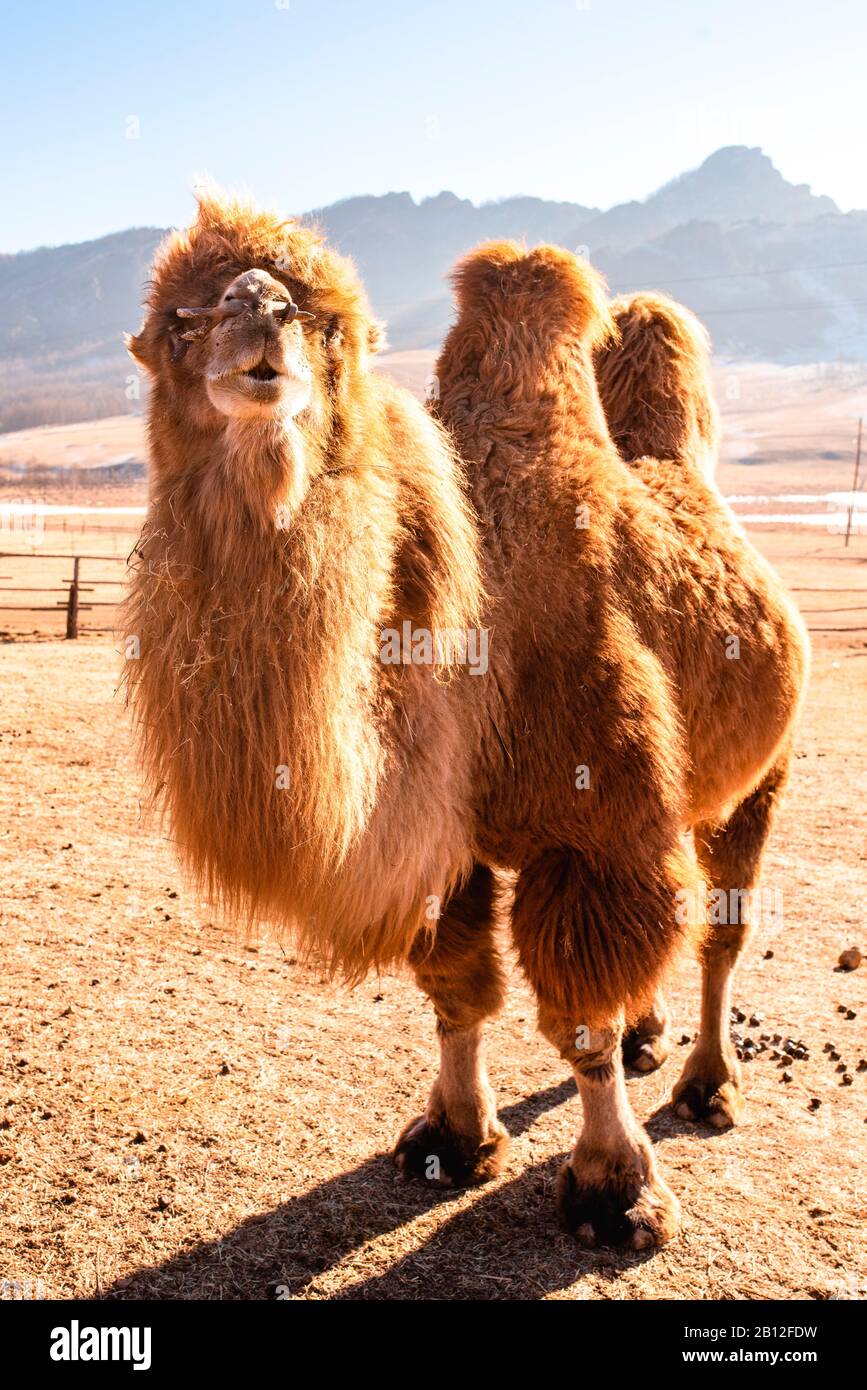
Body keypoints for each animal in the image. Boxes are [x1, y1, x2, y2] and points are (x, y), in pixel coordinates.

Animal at [124, 194, 807, 1250]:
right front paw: (450, 1137)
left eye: (325, 321)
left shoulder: (594, 830)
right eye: (178, 324)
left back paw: (705, 1089)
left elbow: (577, 1018)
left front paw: (616, 1193)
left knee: (719, 932)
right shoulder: (451, 842)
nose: (258, 322)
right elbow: (455, 987)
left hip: (760, 774)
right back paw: (653, 1039)